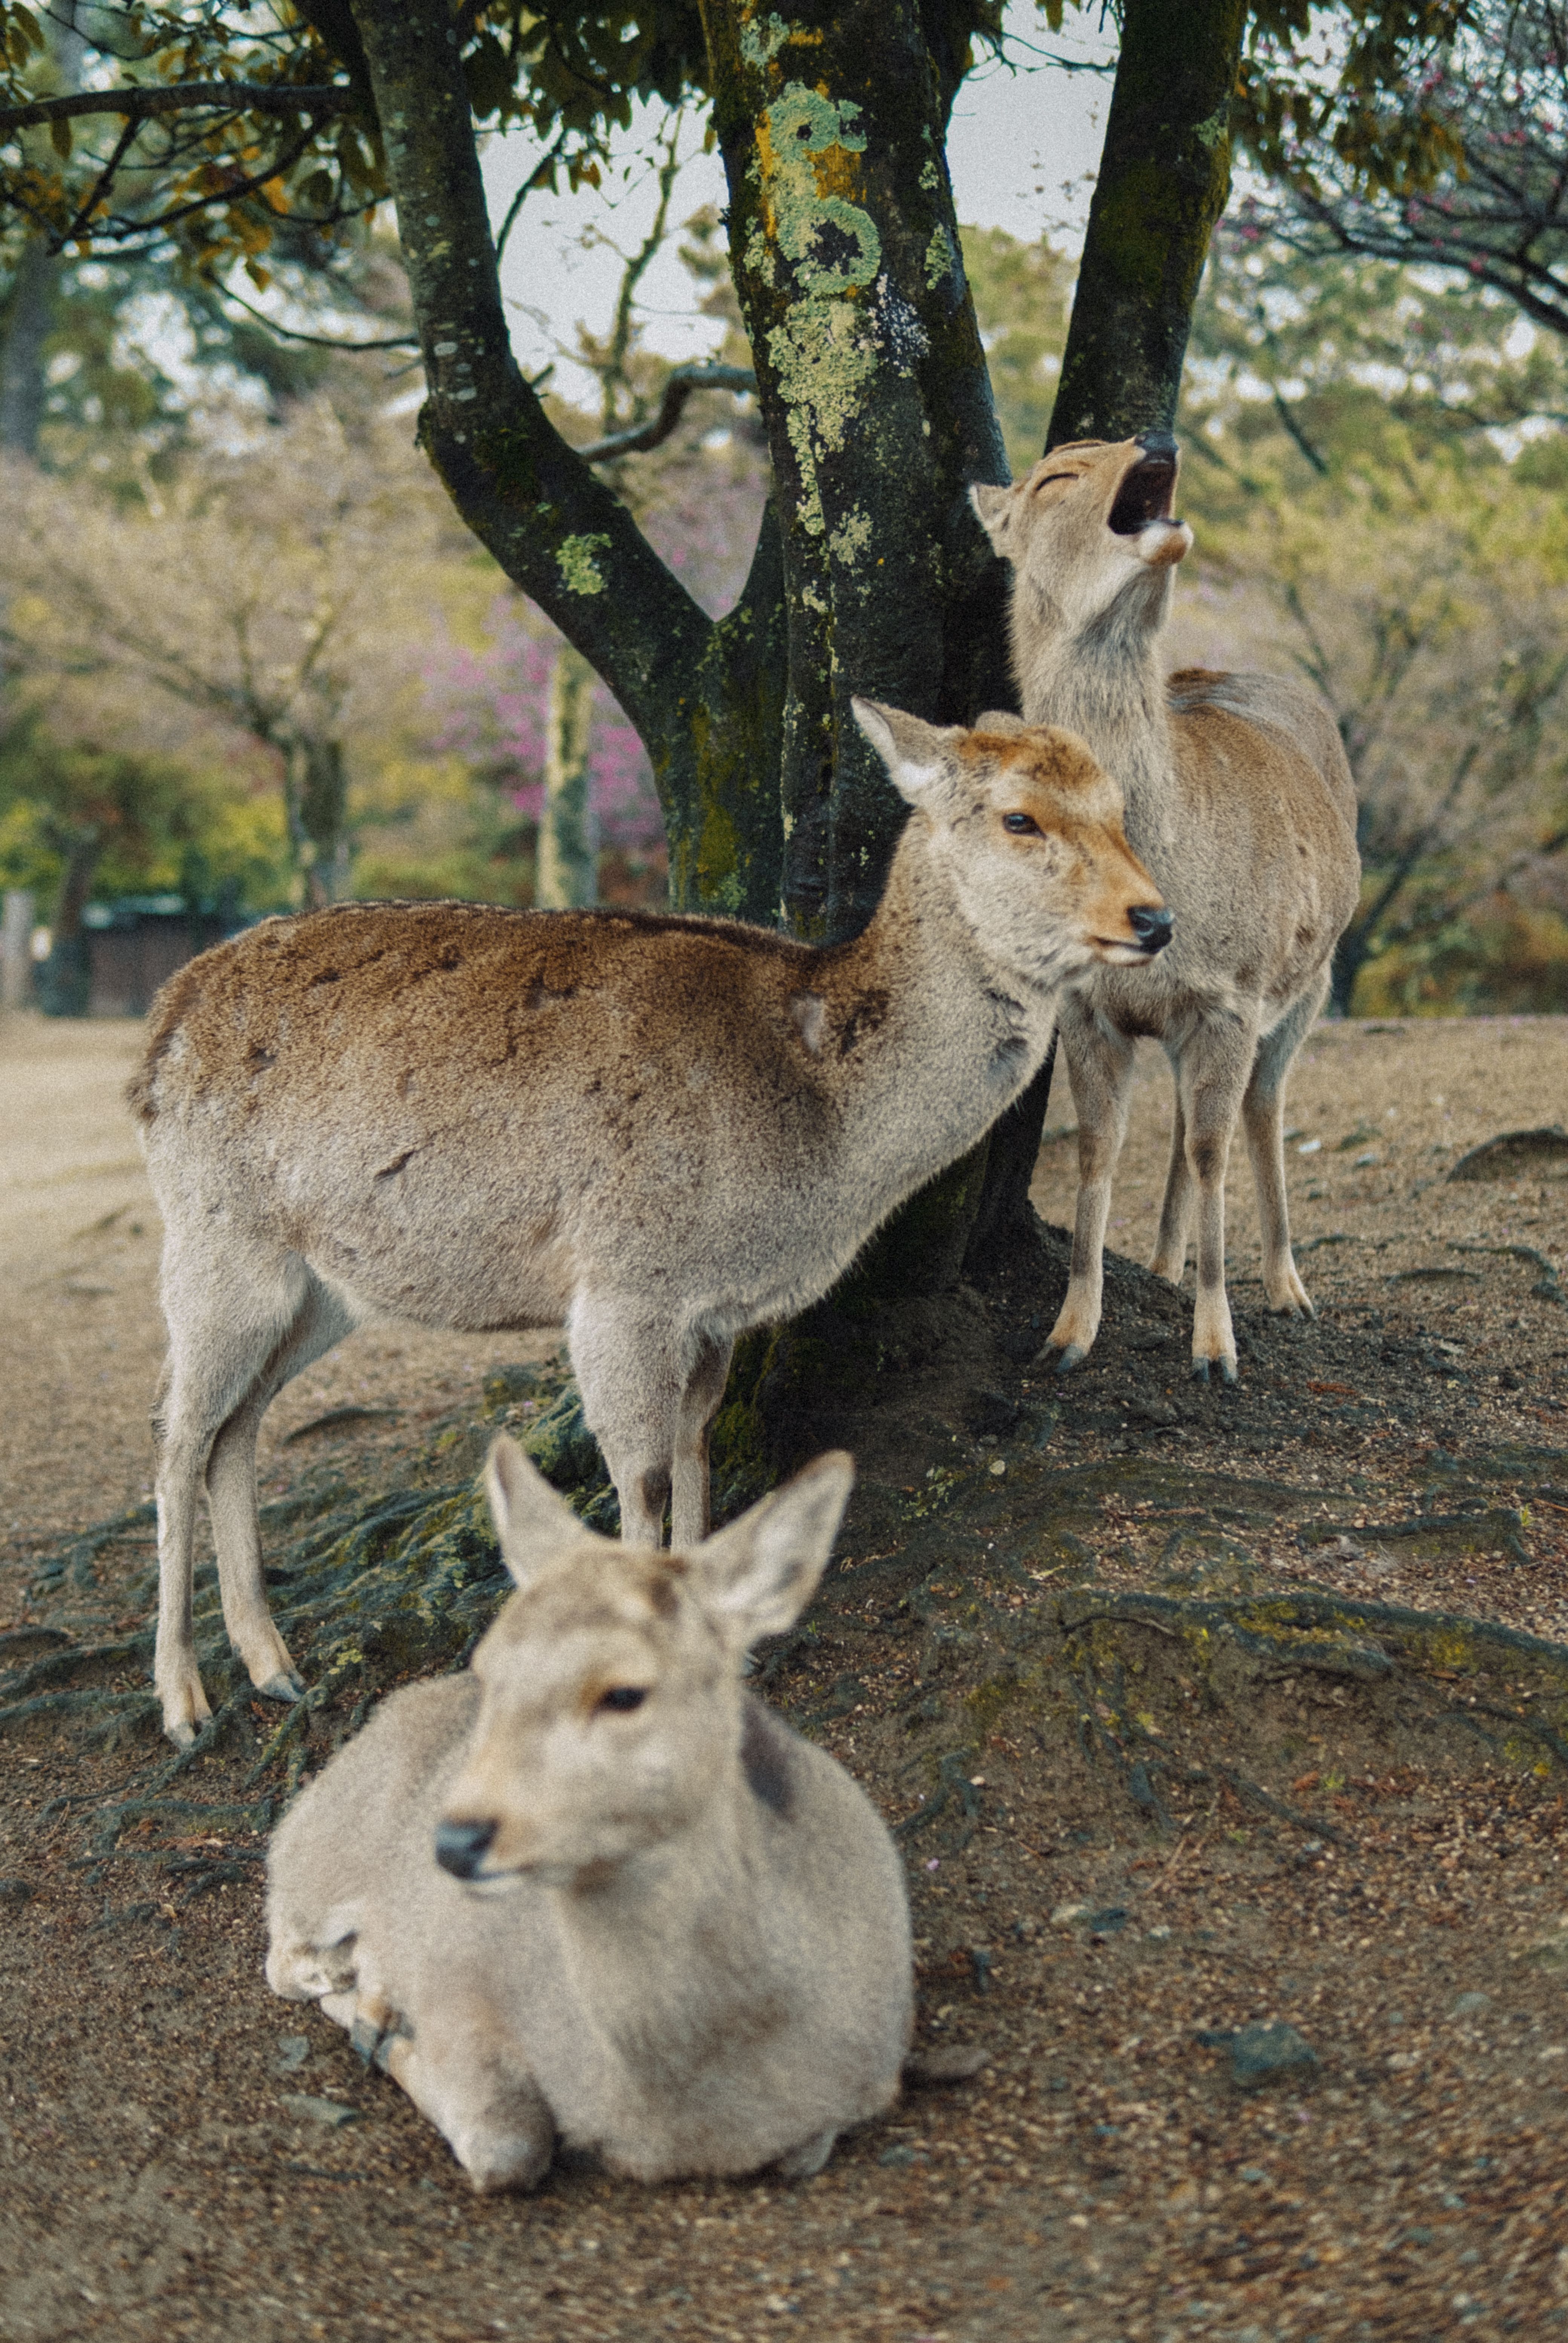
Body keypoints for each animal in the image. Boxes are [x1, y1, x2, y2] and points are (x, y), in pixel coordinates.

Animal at [131, 696, 1170, 1747]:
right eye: (1018, 817)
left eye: (1121, 805)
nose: (1155, 918)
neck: (817, 1139)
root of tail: (157, 1031)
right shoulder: (625, 1283)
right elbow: (642, 1476)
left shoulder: (712, 1313)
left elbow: (695, 1454)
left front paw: (726, 1653)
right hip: (215, 1238)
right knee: (175, 1436)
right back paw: (184, 1701)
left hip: (319, 1290)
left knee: (235, 1429)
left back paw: (273, 1664)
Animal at [266, 1439, 912, 2190]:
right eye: (491, 1669)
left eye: (625, 1692)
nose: (456, 1841)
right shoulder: (457, 1978)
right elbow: (508, 2145)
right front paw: (390, 2032)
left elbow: (807, 2152)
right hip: (319, 1858)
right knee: (283, 1958)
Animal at [971, 434, 1360, 1385]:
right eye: (1055, 476)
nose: (1158, 436)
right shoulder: (1085, 1008)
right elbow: (1099, 1147)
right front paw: (1067, 1333)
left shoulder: (1232, 993)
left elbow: (1214, 1148)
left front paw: (1216, 1350)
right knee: (1192, 1118)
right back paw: (1160, 1263)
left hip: (1313, 978)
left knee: (1262, 1108)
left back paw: (1287, 1286)